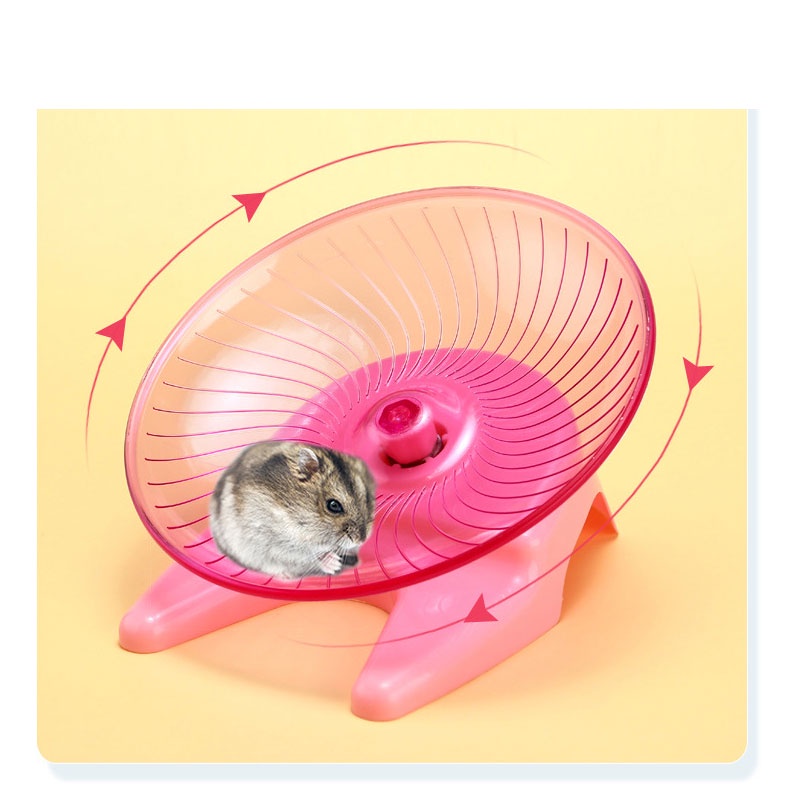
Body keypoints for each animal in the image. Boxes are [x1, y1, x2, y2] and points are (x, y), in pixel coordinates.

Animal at [209, 440, 376, 580]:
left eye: (367, 498)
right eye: (333, 505)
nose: (361, 540)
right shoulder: (273, 540)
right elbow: (307, 554)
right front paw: (334, 563)